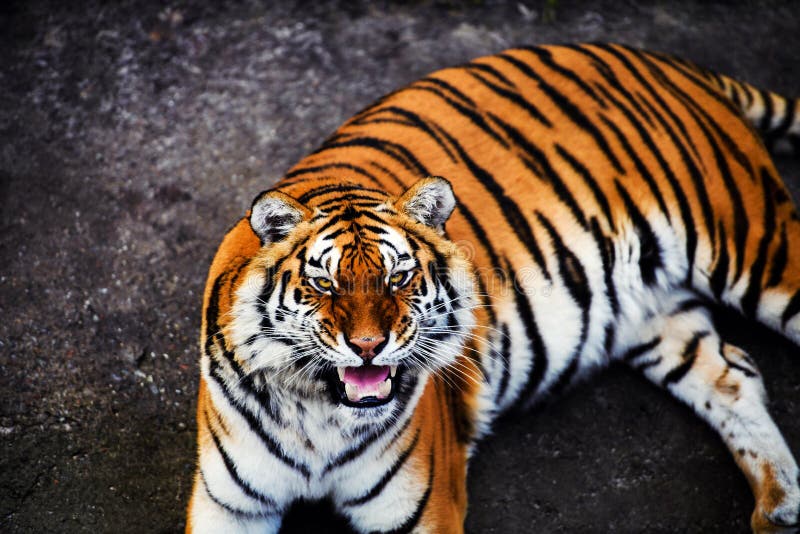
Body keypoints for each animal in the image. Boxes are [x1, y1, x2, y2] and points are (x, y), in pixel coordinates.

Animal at [186, 43, 800, 533]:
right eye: (324, 283)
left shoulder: (421, 506)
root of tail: (673, 64)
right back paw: (779, 507)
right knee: (734, 374)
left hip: (753, 246)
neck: (317, 417)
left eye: (398, 276)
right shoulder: (227, 504)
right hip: (654, 310)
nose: (368, 347)